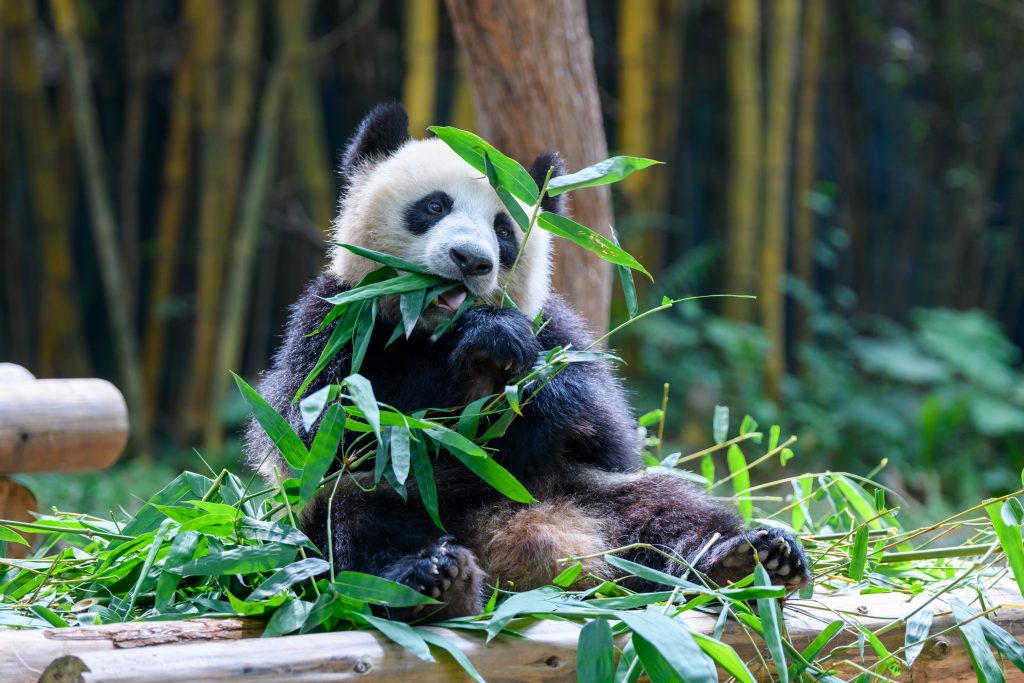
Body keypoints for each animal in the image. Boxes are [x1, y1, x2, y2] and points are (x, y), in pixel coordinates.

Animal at [245, 103, 810, 620]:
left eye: (503, 228)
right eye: (434, 205)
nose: (472, 260)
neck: (432, 323)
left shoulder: (557, 328)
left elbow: (606, 427)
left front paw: (505, 361)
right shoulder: (332, 319)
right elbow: (318, 426)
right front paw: (473, 357)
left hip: (591, 493)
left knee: (673, 511)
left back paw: (746, 561)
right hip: (376, 508)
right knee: (351, 526)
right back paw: (430, 582)